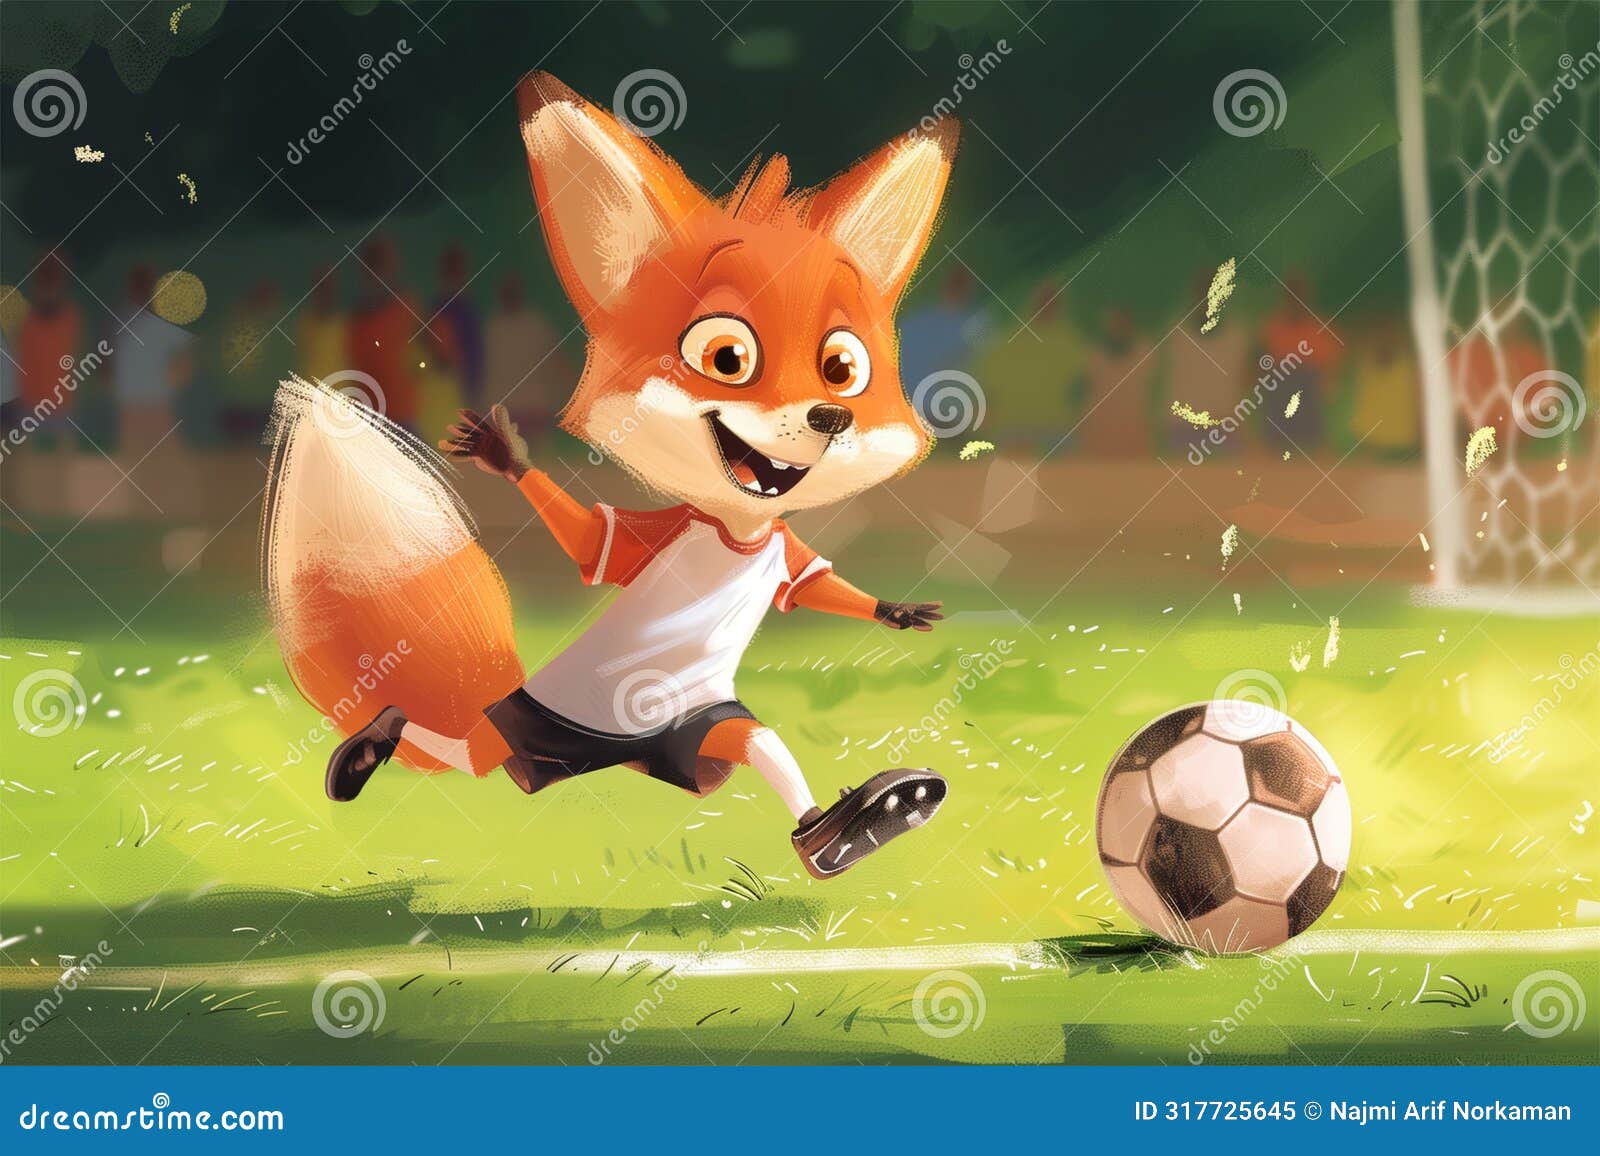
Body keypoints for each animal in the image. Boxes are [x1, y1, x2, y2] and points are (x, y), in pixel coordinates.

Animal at [263, 72, 959, 879]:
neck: (740, 530)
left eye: (843, 368)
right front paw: (505, 455)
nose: (830, 416)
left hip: (674, 736)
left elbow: (800, 623)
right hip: (533, 730)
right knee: (471, 746)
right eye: (727, 357)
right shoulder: (655, 533)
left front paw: (863, 808)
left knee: (723, 740)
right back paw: (367, 744)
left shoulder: (775, 569)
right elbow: (594, 538)